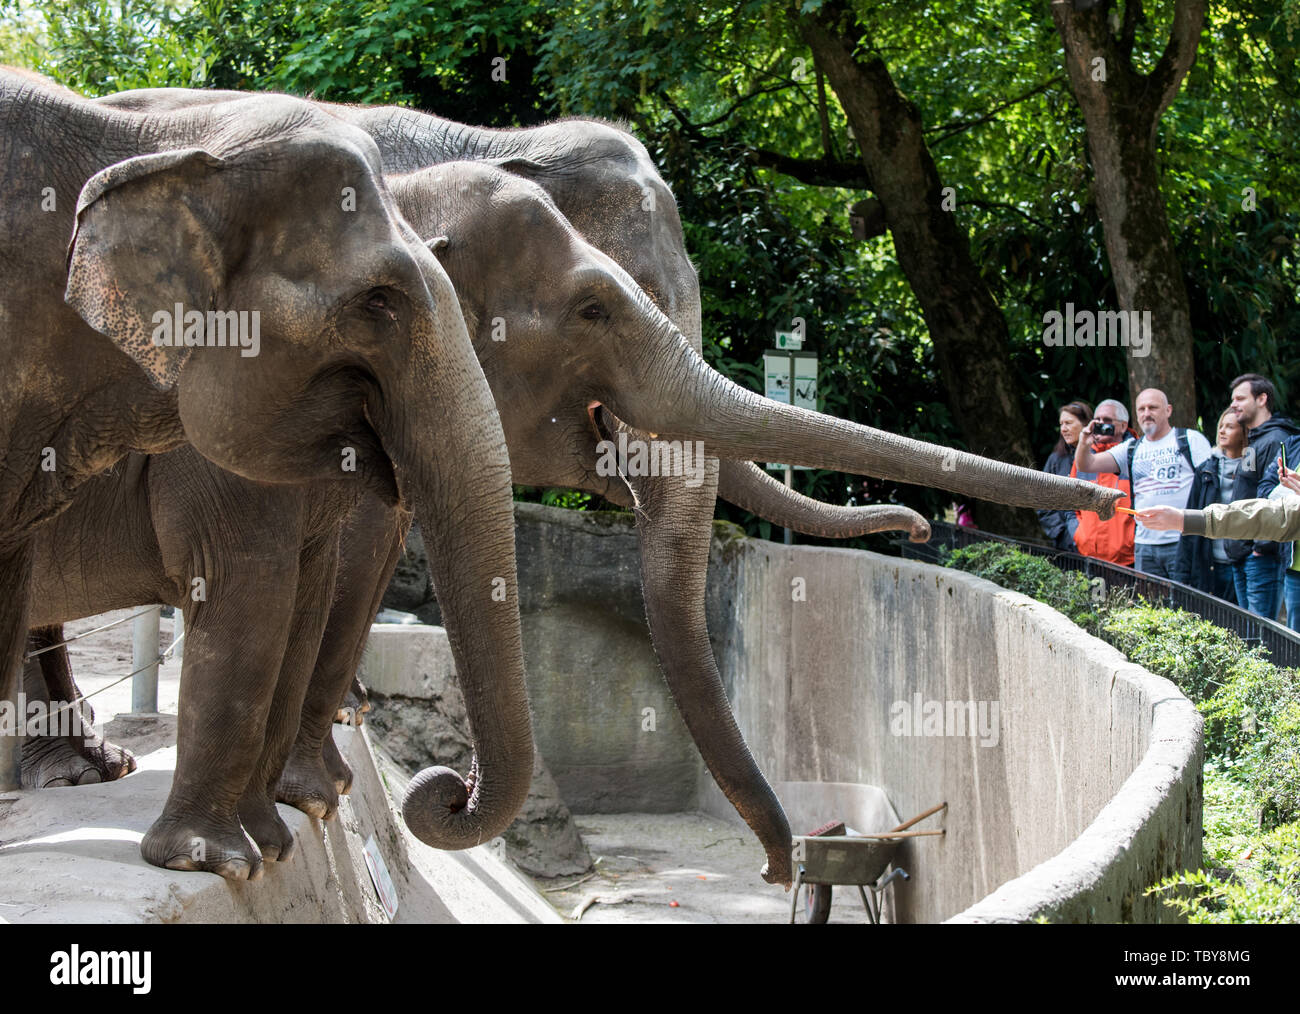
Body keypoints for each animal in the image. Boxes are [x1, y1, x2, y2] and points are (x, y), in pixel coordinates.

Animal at [0, 71, 531, 880]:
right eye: (379, 302)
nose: (446, 789)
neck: (174, 142)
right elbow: (250, 589)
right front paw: (219, 861)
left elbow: (303, 598)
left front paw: (279, 838)